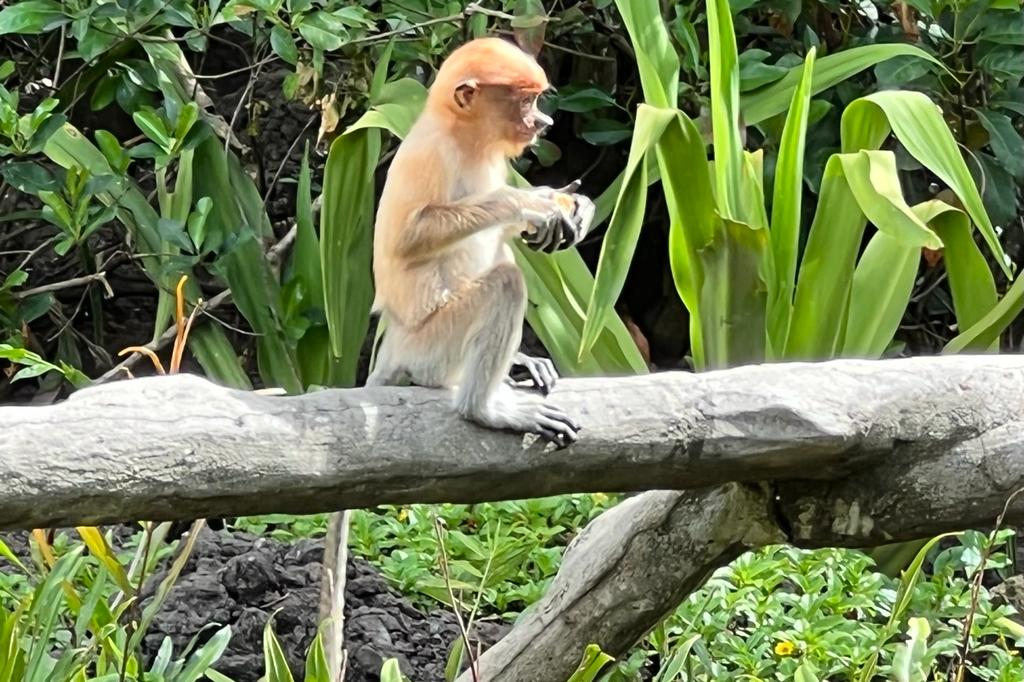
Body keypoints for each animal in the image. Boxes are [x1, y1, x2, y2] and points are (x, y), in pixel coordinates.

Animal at [317, 38, 595, 670]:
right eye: (526, 99)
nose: (543, 124)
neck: (462, 135)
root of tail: (396, 341)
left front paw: (571, 209)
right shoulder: (430, 157)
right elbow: (413, 235)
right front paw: (536, 206)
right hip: (432, 343)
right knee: (504, 283)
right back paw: (485, 407)